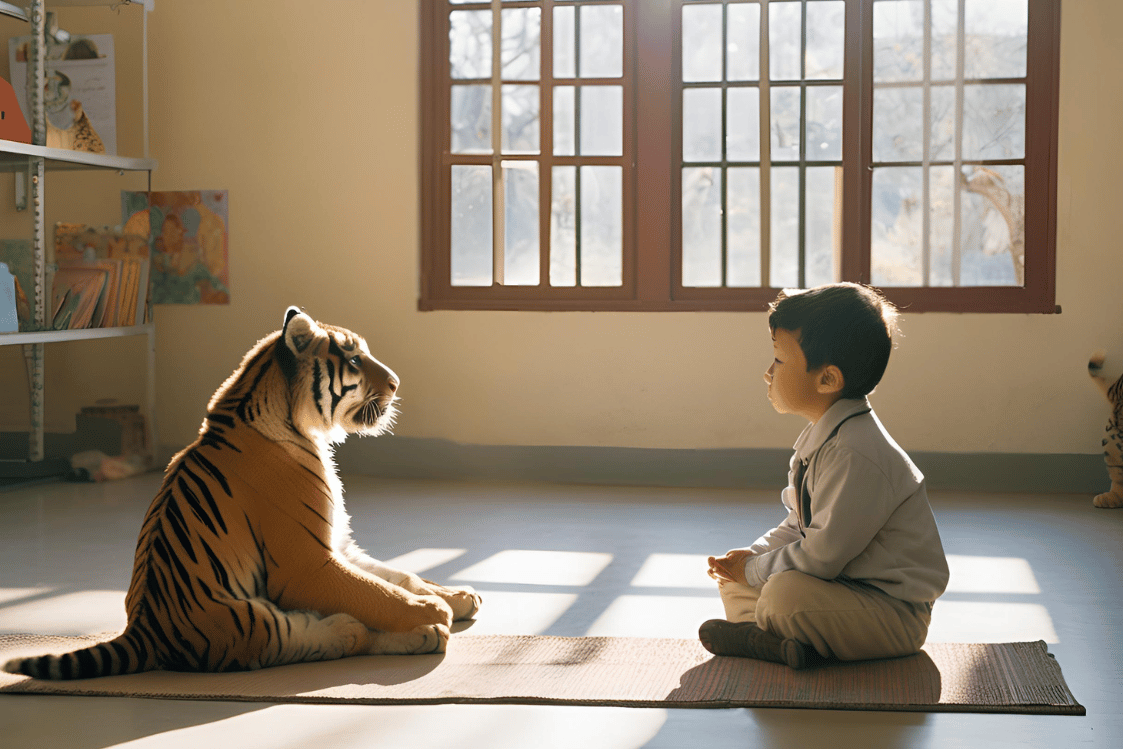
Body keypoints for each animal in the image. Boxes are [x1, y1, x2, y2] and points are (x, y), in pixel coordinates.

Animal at [3, 307, 481, 680]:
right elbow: (375, 591)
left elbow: (397, 576)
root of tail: (142, 631)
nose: (397, 383)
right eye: (355, 358)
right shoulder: (309, 564)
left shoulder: (339, 546)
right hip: (248, 619)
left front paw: (453, 597)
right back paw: (399, 631)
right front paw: (432, 610)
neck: (299, 424)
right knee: (331, 634)